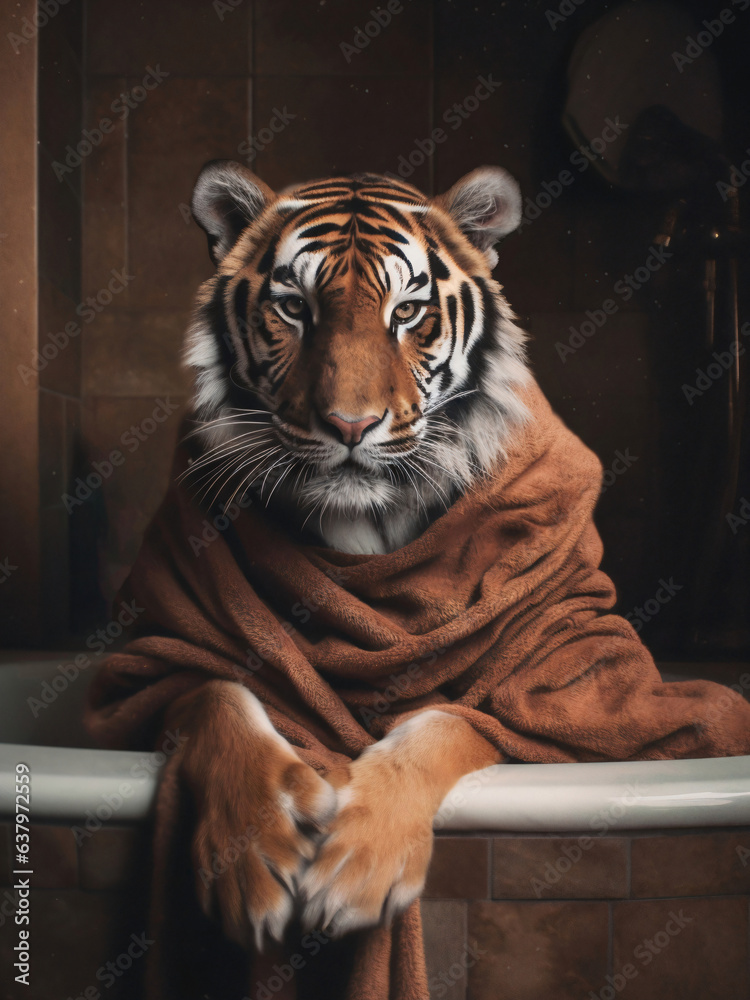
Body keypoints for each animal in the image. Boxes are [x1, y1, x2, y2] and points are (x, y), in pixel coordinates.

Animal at [168, 162, 526, 947]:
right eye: (294, 308)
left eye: (407, 313)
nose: (351, 425)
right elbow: (214, 691)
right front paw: (248, 861)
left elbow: (444, 721)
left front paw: (356, 871)